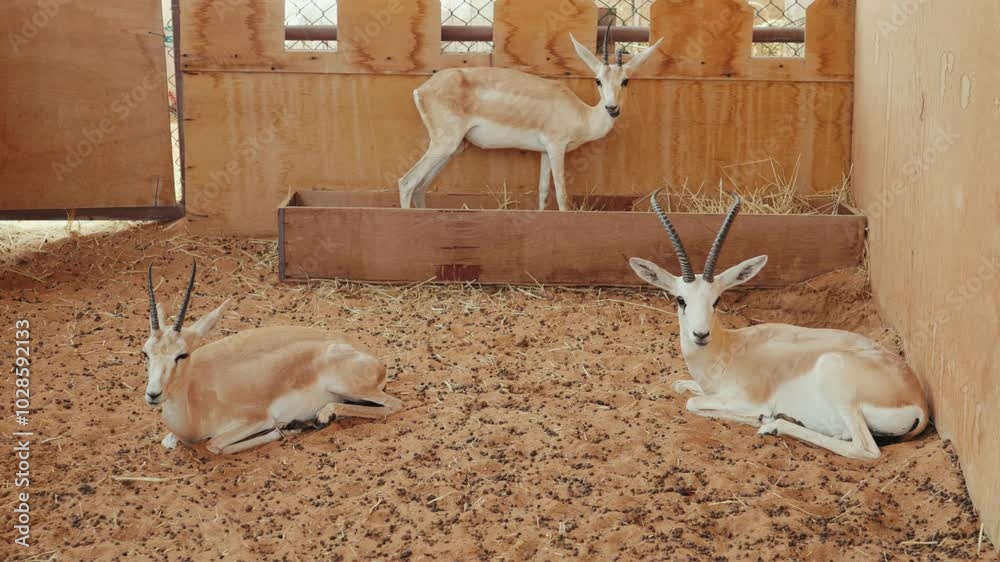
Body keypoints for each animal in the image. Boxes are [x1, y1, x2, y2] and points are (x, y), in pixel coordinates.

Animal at [140, 260, 402, 455]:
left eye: (182, 354)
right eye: (145, 353)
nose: (153, 394)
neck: (194, 410)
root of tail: (375, 361)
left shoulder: (256, 419)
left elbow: (214, 445)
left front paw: (287, 428)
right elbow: (170, 441)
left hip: (346, 386)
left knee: (394, 405)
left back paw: (319, 417)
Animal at [398, 27, 663, 211]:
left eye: (625, 80)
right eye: (598, 80)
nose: (612, 108)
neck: (582, 114)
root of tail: (422, 89)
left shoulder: (544, 151)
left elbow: (543, 192)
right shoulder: (556, 147)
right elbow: (562, 195)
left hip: (452, 149)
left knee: (421, 188)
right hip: (445, 144)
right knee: (407, 182)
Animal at [628, 191, 929, 460]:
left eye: (717, 299)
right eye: (681, 299)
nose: (700, 334)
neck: (729, 351)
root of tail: (919, 403)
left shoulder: (746, 398)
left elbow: (693, 402)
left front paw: (761, 417)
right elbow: (680, 386)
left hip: (837, 381)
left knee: (864, 449)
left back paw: (774, 424)